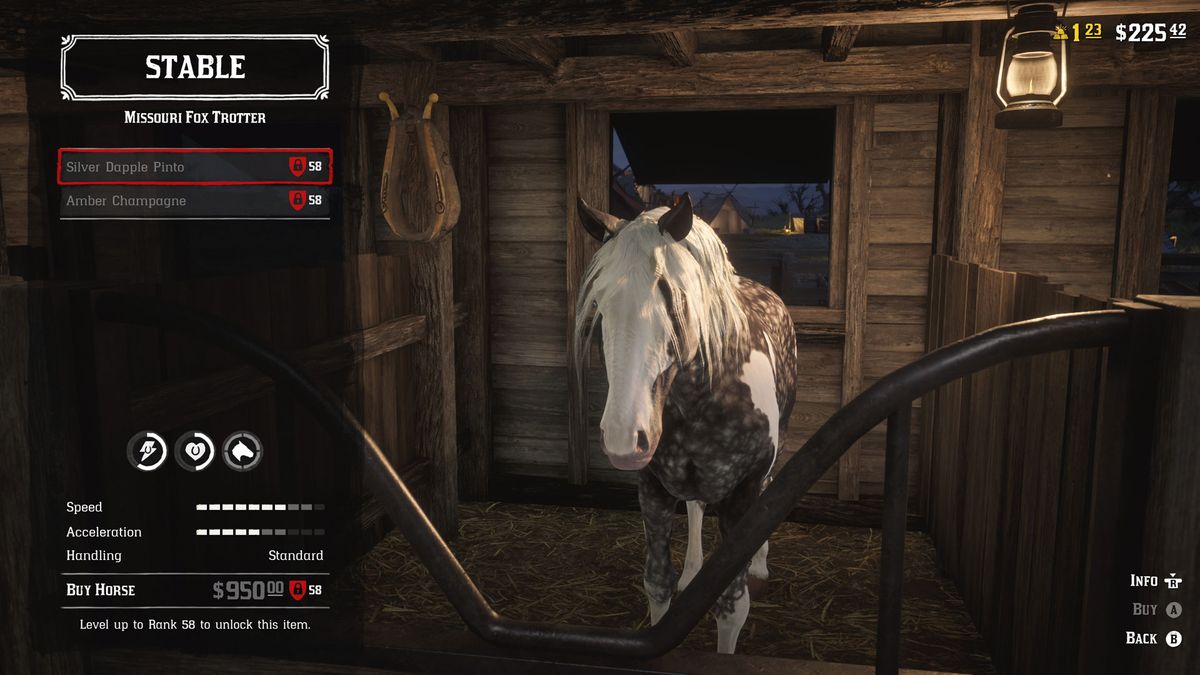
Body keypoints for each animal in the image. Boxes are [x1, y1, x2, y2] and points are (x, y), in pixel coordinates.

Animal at [572, 194, 798, 654]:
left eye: (673, 297)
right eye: (599, 302)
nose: (624, 438)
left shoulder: (742, 494)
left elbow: (732, 605)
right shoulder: (653, 488)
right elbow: (658, 584)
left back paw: (760, 567)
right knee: (695, 506)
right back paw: (695, 570)